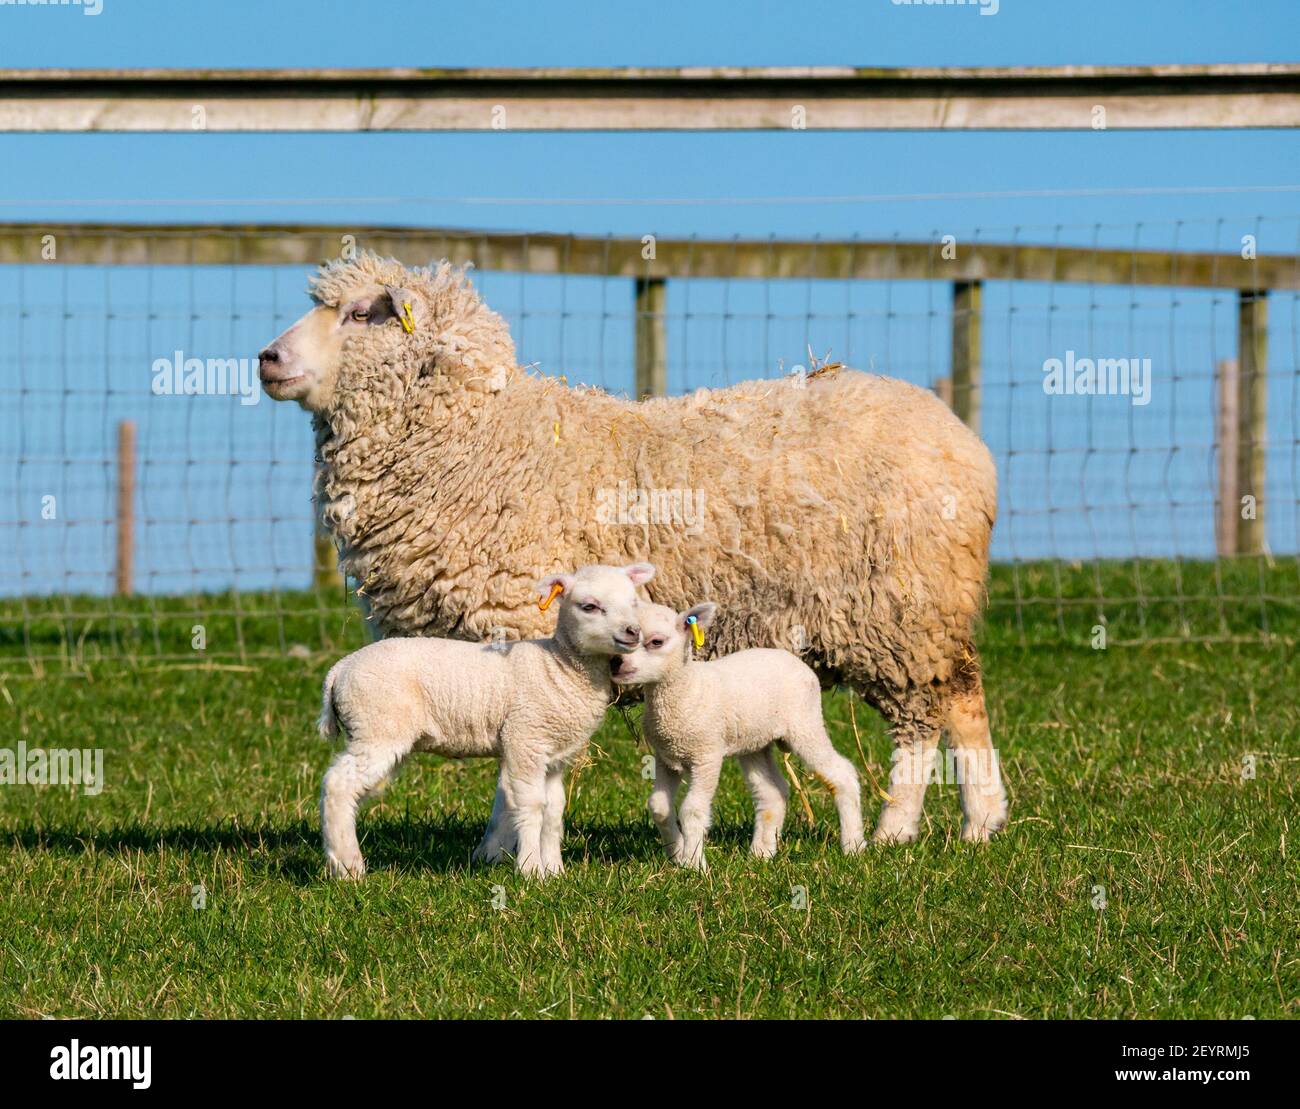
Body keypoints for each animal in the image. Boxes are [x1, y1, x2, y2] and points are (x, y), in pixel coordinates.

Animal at [317, 562, 654, 879]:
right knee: (337, 784)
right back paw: (347, 867)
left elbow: (554, 810)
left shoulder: (555, 754)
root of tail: (339, 669)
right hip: (378, 726)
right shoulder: (525, 739)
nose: (633, 632)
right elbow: (532, 805)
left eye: (633, 602)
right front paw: (531, 871)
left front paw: (555, 870)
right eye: (589, 606)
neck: (559, 666)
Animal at [610, 601, 864, 869]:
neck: (687, 688)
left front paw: (694, 865)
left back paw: (853, 846)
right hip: (755, 741)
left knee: (842, 774)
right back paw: (761, 854)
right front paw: (677, 853)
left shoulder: (706, 755)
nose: (616, 663)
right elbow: (659, 807)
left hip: (805, 722)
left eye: (656, 641)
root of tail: (791, 656)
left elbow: (692, 810)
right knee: (771, 793)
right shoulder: (666, 756)